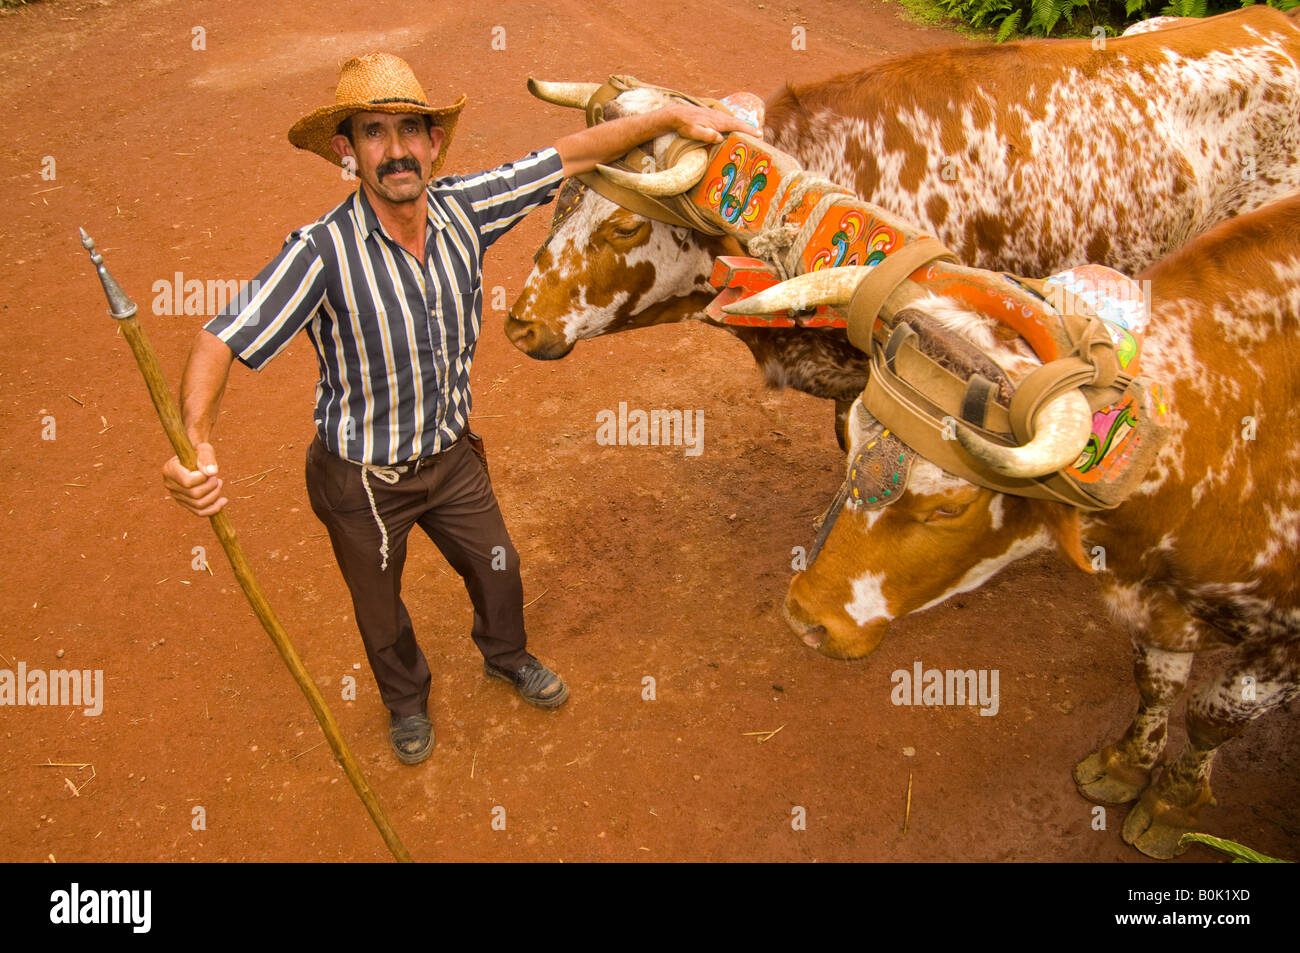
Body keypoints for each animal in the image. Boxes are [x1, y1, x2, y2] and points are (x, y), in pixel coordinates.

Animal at [780, 191, 1300, 859]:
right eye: (850, 444)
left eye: (949, 508)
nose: (806, 617)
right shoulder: (1159, 607)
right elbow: (1156, 684)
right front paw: (1126, 765)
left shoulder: (1281, 646)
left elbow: (1214, 717)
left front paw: (1173, 804)